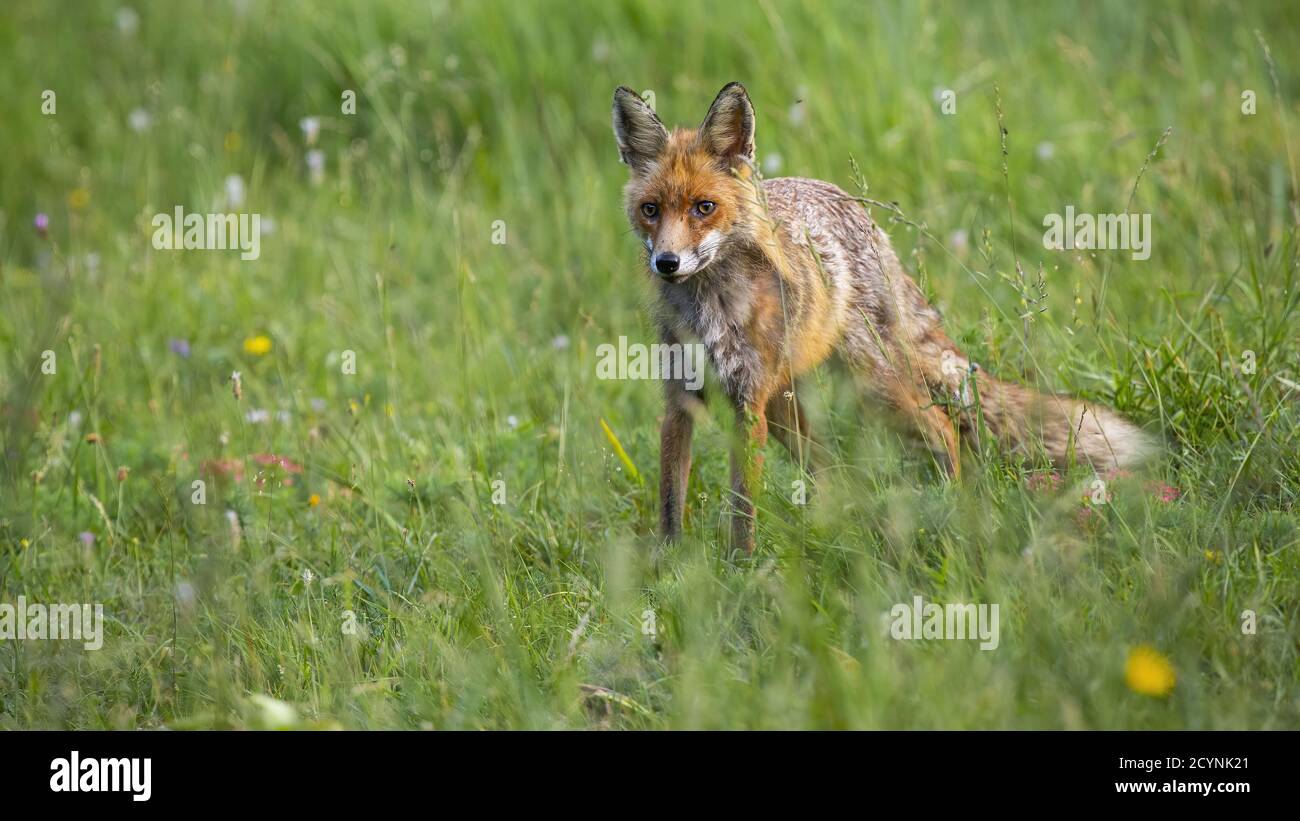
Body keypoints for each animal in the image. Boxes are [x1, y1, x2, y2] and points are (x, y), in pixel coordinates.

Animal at [611, 82, 1155, 555]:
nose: (667, 263)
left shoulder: (747, 405)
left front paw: (740, 574)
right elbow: (670, 501)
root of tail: (851, 204)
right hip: (788, 407)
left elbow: (742, 510)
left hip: (869, 387)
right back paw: (836, 525)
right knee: (830, 468)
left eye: (704, 207)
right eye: (651, 210)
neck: (709, 309)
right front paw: (671, 572)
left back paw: (953, 506)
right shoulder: (681, 399)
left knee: (942, 426)